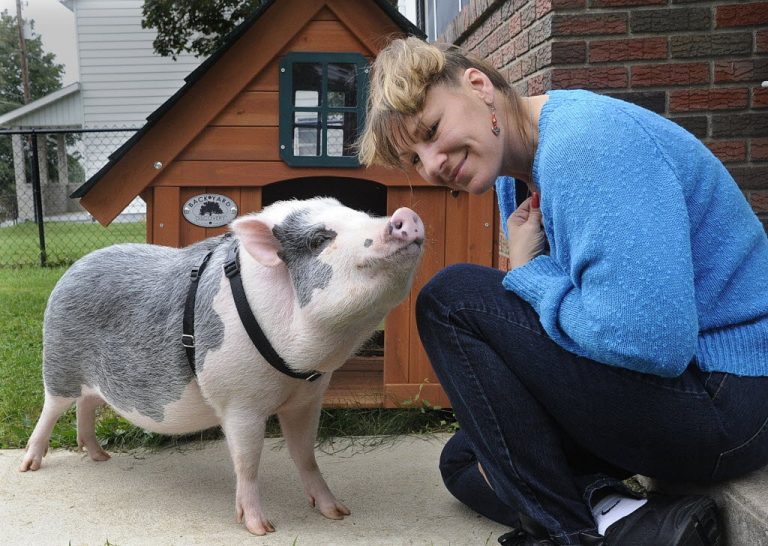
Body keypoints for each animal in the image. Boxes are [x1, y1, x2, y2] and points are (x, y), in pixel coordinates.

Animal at [19, 197, 424, 535]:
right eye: (320, 239)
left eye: (362, 213)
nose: (406, 215)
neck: (302, 363)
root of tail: (74, 269)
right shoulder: (239, 402)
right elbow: (247, 462)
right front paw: (262, 529)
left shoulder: (307, 399)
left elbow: (305, 455)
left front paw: (338, 512)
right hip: (58, 362)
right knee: (51, 409)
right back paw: (29, 466)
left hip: (93, 382)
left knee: (86, 404)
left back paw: (101, 456)